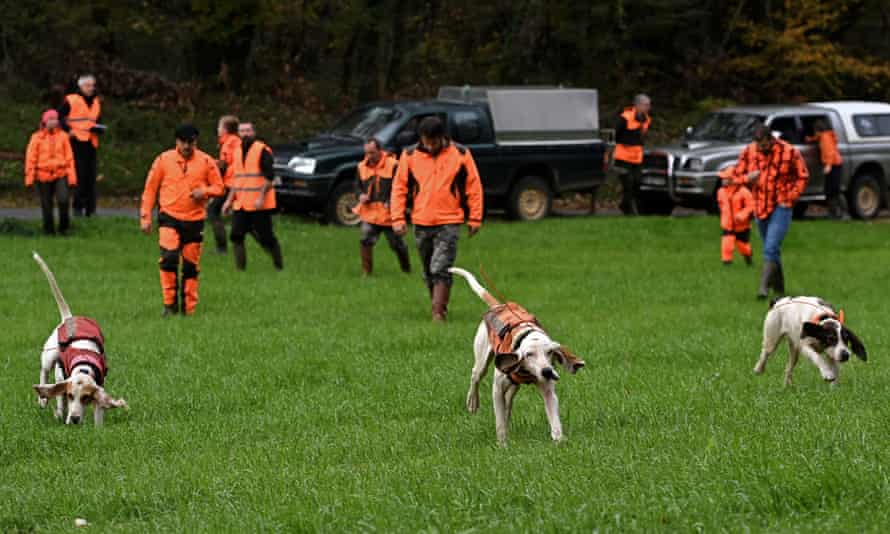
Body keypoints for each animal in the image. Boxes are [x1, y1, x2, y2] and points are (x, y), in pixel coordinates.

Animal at [31, 252, 126, 428]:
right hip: (49, 355)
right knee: (44, 371)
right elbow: (59, 396)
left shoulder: (99, 385)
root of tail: (69, 318)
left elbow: (99, 406)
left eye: (85, 397)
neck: (83, 367)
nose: (74, 420)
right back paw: (43, 400)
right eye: (70, 395)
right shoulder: (61, 377)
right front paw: (60, 414)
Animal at [448, 266, 588, 446]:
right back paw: (472, 401)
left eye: (549, 352)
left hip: (514, 385)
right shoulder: (497, 388)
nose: (547, 371)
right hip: (482, 361)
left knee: (508, 400)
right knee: (475, 376)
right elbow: (499, 422)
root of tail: (499, 305)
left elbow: (554, 419)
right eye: (529, 354)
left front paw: (559, 439)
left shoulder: (548, 390)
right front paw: (502, 445)